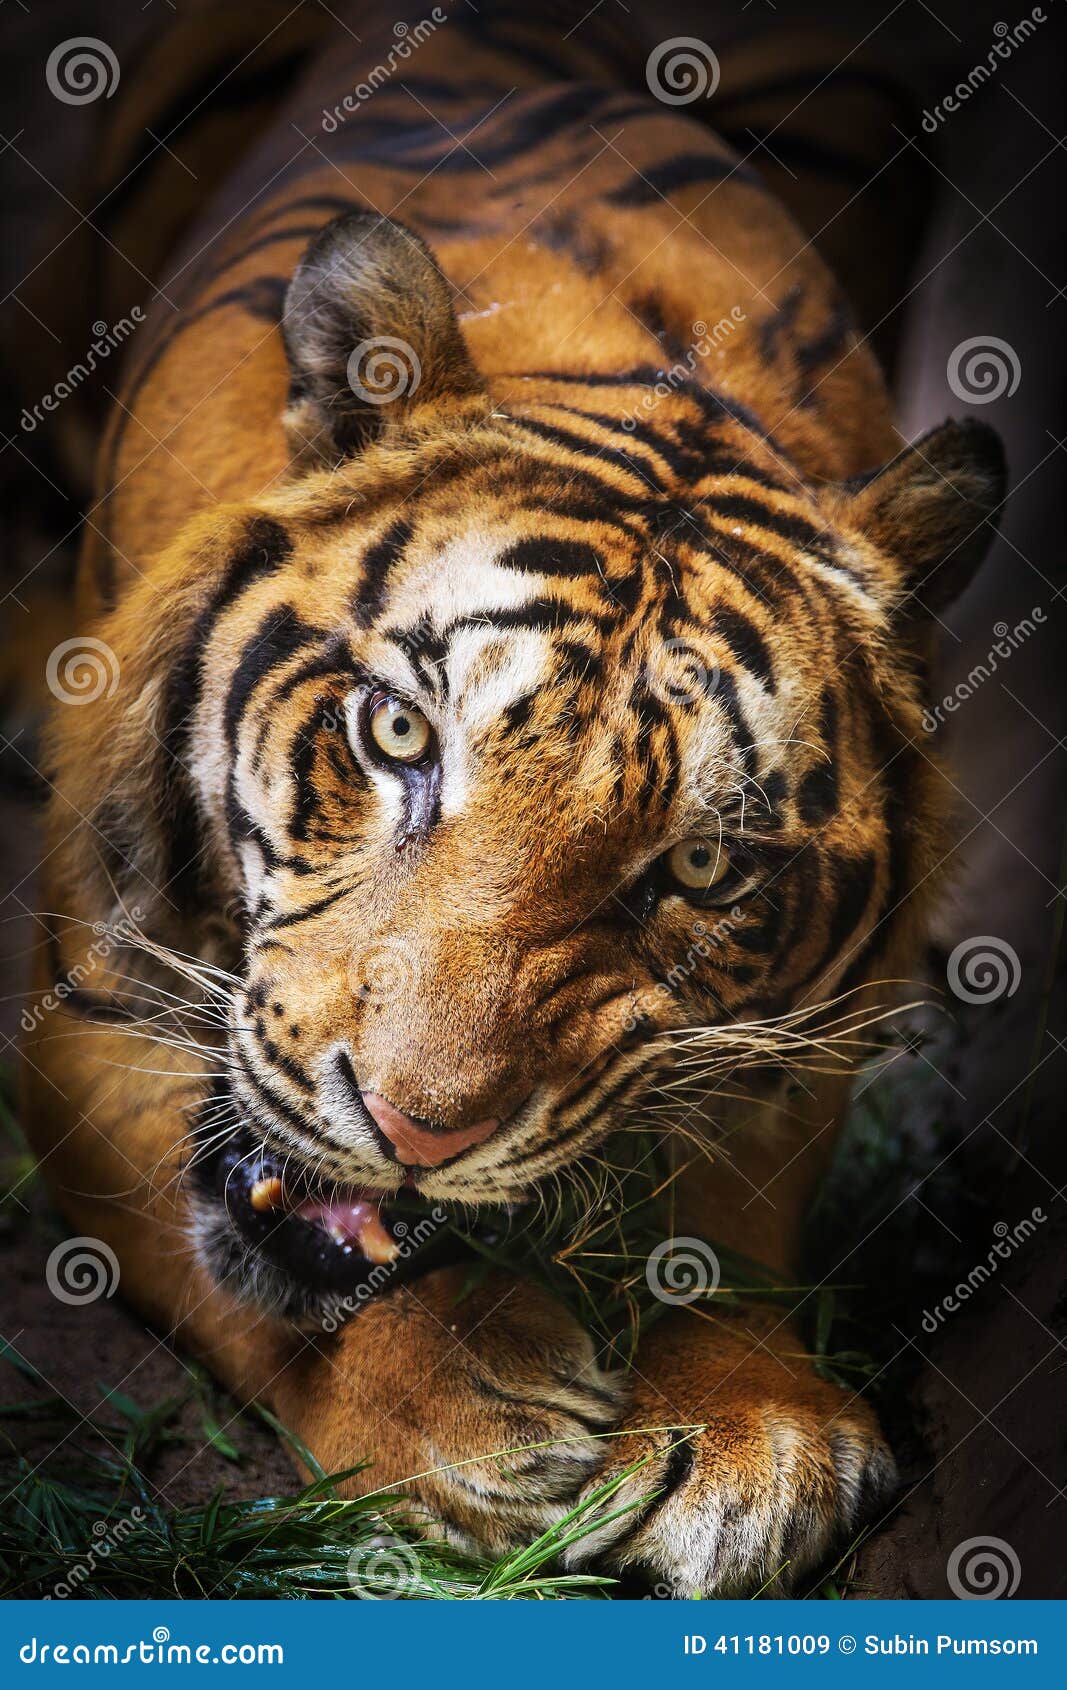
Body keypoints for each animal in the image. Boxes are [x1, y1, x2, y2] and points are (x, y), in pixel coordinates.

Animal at [18, 0, 1006, 1596]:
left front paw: (748, 1427)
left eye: (700, 869)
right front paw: (466, 1400)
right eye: (397, 733)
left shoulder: (799, 1045)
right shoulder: (82, 1003)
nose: (414, 1129)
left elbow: (720, 1211)